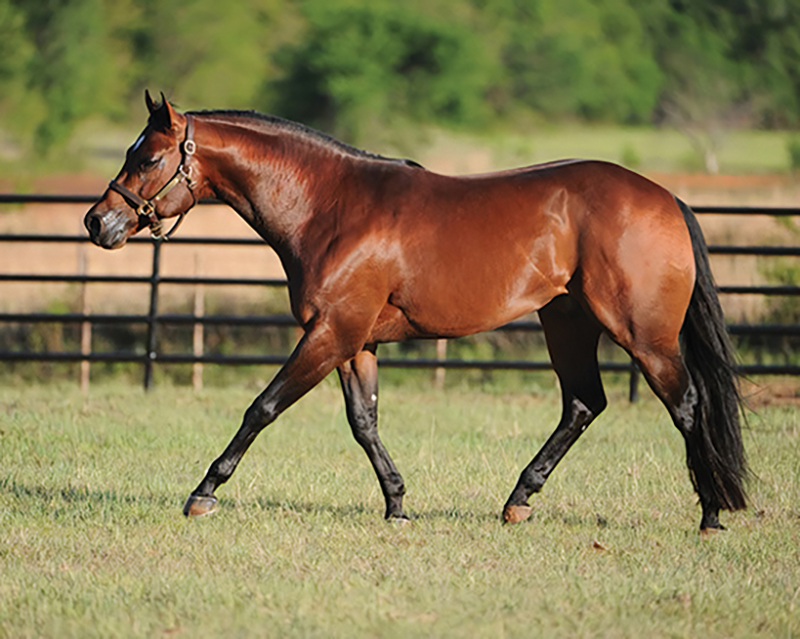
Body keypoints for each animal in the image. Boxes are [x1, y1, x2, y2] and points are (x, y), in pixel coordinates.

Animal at [84, 92, 747, 531]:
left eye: (147, 158)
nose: (98, 222)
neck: (329, 205)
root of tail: (666, 197)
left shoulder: (329, 334)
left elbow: (262, 407)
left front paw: (203, 493)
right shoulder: (355, 342)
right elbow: (364, 423)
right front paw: (397, 504)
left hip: (642, 333)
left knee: (685, 404)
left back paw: (712, 513)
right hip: (566, 322)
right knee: (584, 403)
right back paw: (519, 500)